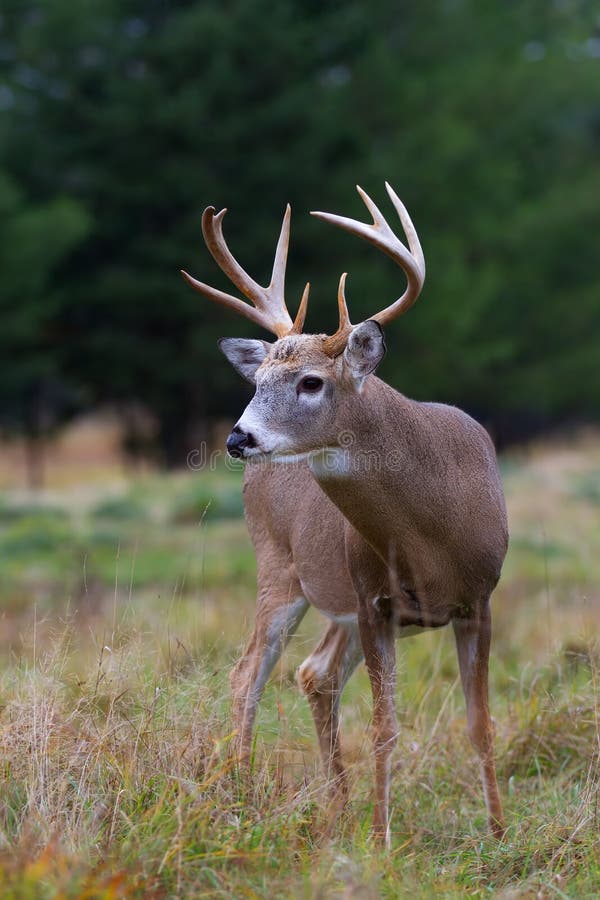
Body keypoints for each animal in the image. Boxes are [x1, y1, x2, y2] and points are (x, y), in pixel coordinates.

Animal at [181, 183, 508, 845]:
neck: (432, 533)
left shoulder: (477, 599)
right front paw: (381, 841)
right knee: (249, 673)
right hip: (280, 569)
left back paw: (337, 806)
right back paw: (241, 799)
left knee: (314, 673)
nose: (238, 437)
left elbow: (479, 724)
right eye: (259, 380)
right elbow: (384, 728)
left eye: (310, 381)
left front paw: (498, 833)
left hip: (340, 607)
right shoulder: (374, 600)